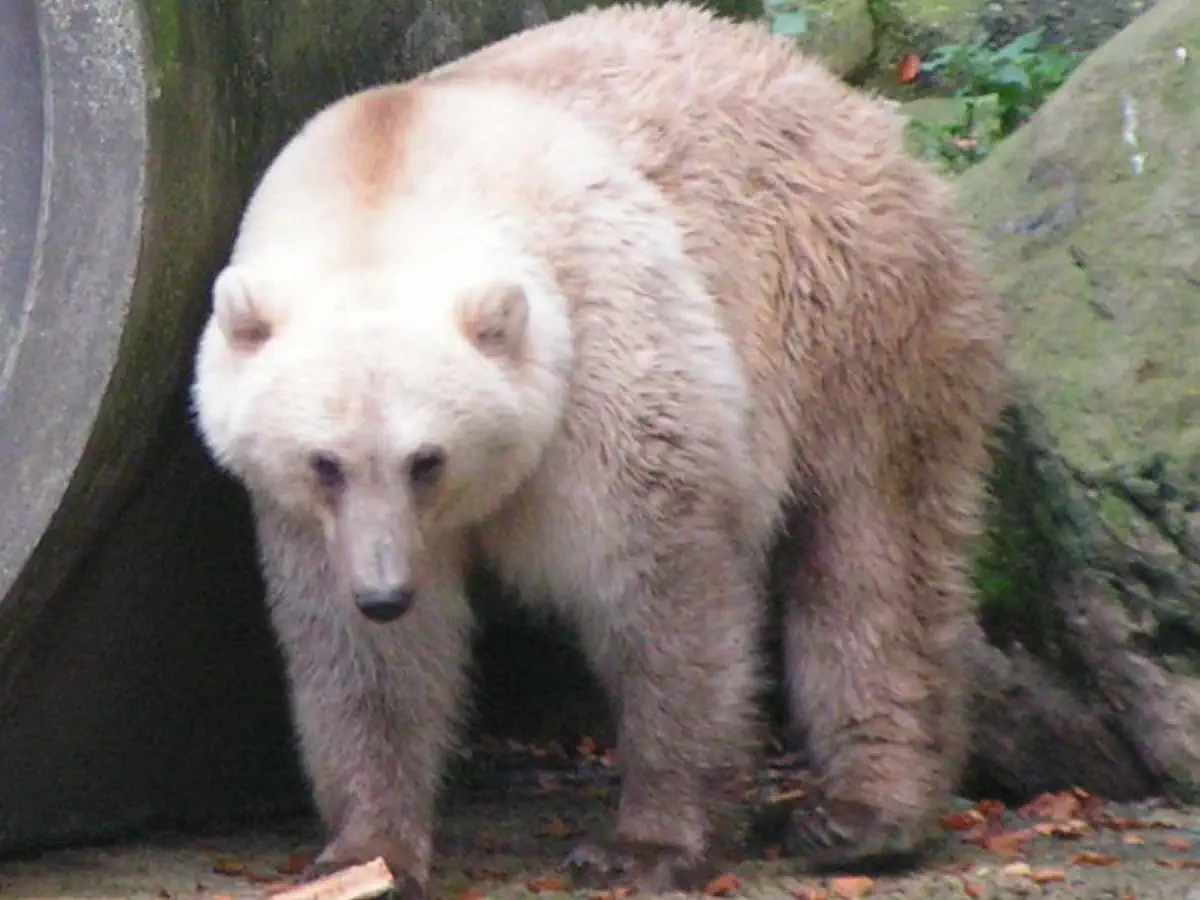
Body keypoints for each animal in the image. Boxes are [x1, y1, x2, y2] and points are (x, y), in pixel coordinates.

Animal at [190, 2, 1009, 895]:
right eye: (324, 463)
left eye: (427, 459)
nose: (383, 591)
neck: (392, 174)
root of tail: (849, 101)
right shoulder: (304, 516)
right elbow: (363, 658)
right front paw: (367, 852)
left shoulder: (601, 354)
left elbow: (657, 586)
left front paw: (649, 844)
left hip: (850, 305)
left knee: (873, 549)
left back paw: (863, 814)